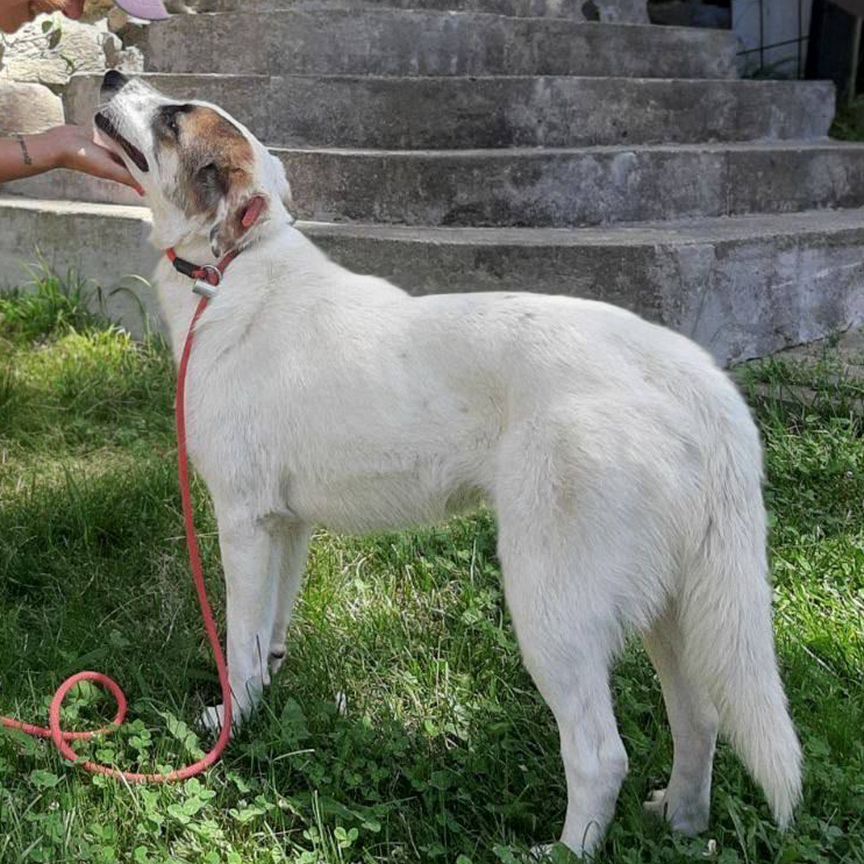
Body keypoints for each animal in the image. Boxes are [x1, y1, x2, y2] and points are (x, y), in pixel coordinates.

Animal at [96, 71, 804, 852]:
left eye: (172, 120)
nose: (111, 74)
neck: (232, 271)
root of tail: (695, 379)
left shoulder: (243, 520)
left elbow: (240, 648)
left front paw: (233, 724)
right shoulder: (286, 525)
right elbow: (269, 635)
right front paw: (260, 709)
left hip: (552, 604)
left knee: (600, 754)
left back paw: (561, 851)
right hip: (672, 609)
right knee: (700, 719)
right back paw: (678, 821)